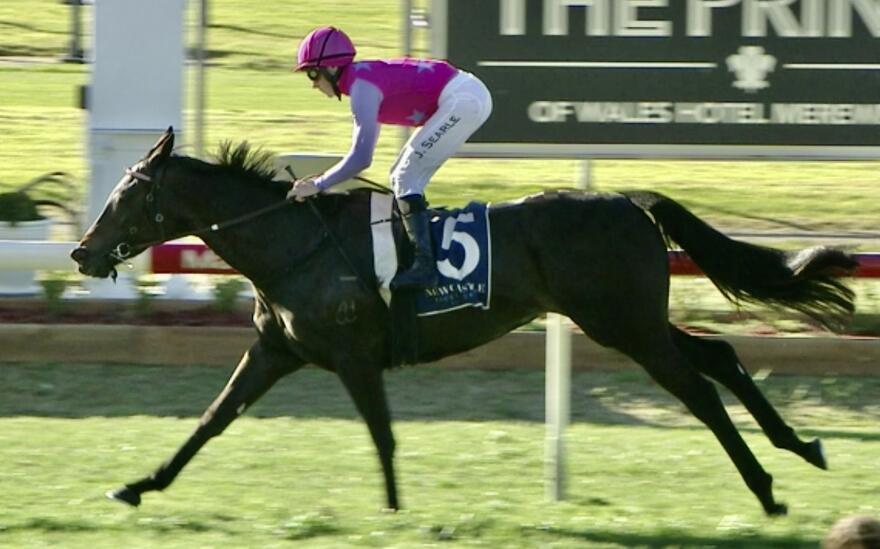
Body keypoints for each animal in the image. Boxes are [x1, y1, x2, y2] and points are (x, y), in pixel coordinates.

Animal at [71, 128, 857, 516]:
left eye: (126, 197)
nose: (81, 251)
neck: (293, 243)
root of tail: (628, 202)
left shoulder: (354, 357)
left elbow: (383, 436)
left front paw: (395, 512)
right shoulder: (276, 350)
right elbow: (211, 420)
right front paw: (138, 485)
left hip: (623, 326)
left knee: (698, 390)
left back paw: (766, 487)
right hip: (633, 321)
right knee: (719, 355)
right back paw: (801, 448)